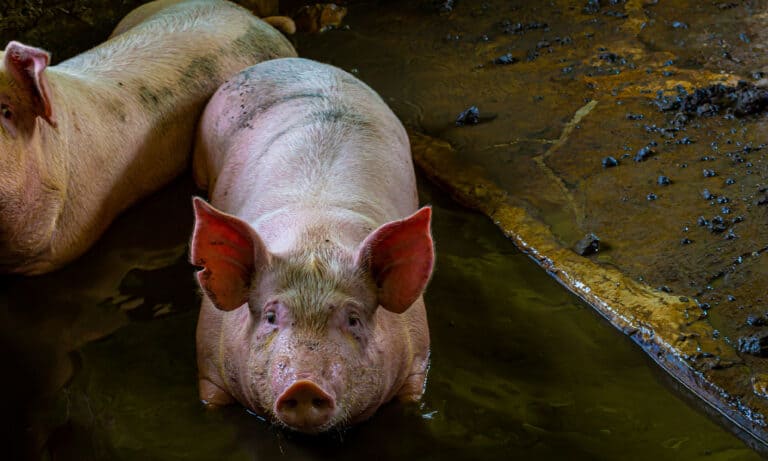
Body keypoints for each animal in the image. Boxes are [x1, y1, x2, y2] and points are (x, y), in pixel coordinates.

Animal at [190, 57, 434, 433]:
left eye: (353, 320)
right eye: (271, 316)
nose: (304, 385)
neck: (314, 239)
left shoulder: (417, 358)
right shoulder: (209, 366)